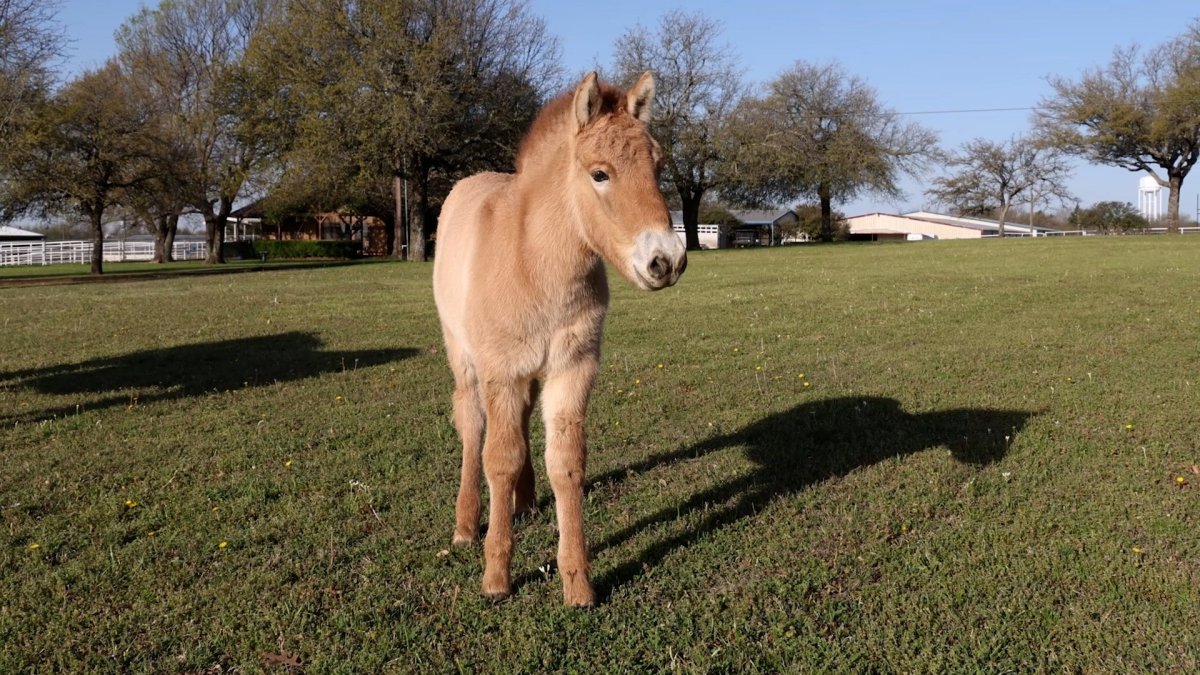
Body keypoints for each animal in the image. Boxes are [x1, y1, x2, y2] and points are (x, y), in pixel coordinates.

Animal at [432, 71, 687, 606]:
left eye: (657, 166)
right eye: (599, 174)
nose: (666, 261)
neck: (535, 262)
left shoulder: (573, 369)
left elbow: (566, 465)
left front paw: (577, 583)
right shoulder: (501, 372)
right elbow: (499, 460)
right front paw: (496, 577)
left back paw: (526, 503)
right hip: (464, 357)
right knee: (472, 425)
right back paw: (466, 525)